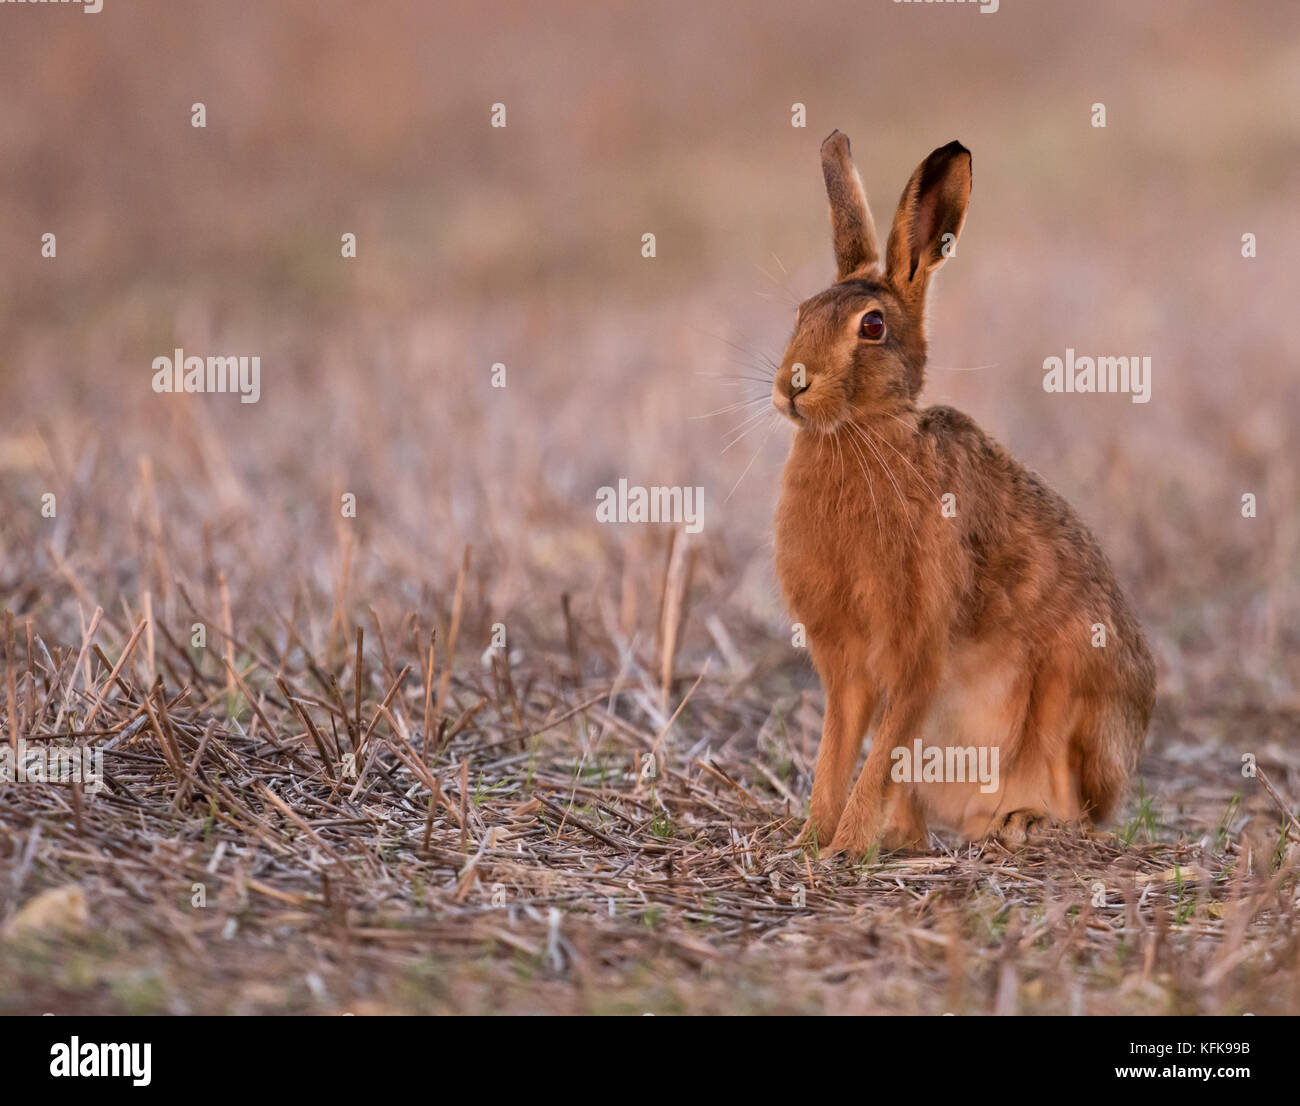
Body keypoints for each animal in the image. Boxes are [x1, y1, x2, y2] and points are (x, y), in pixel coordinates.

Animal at [772, 131, 1155, 858]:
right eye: (800, 312)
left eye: (871, 327)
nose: (790, 386)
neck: (863, 434)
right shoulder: (846, 669)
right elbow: (837, 751)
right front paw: (810, 841)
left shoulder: (918, 652)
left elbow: (878, 755)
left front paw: (845, 848)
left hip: (1073, 697)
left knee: (1082, 810)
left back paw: (1023, 822)